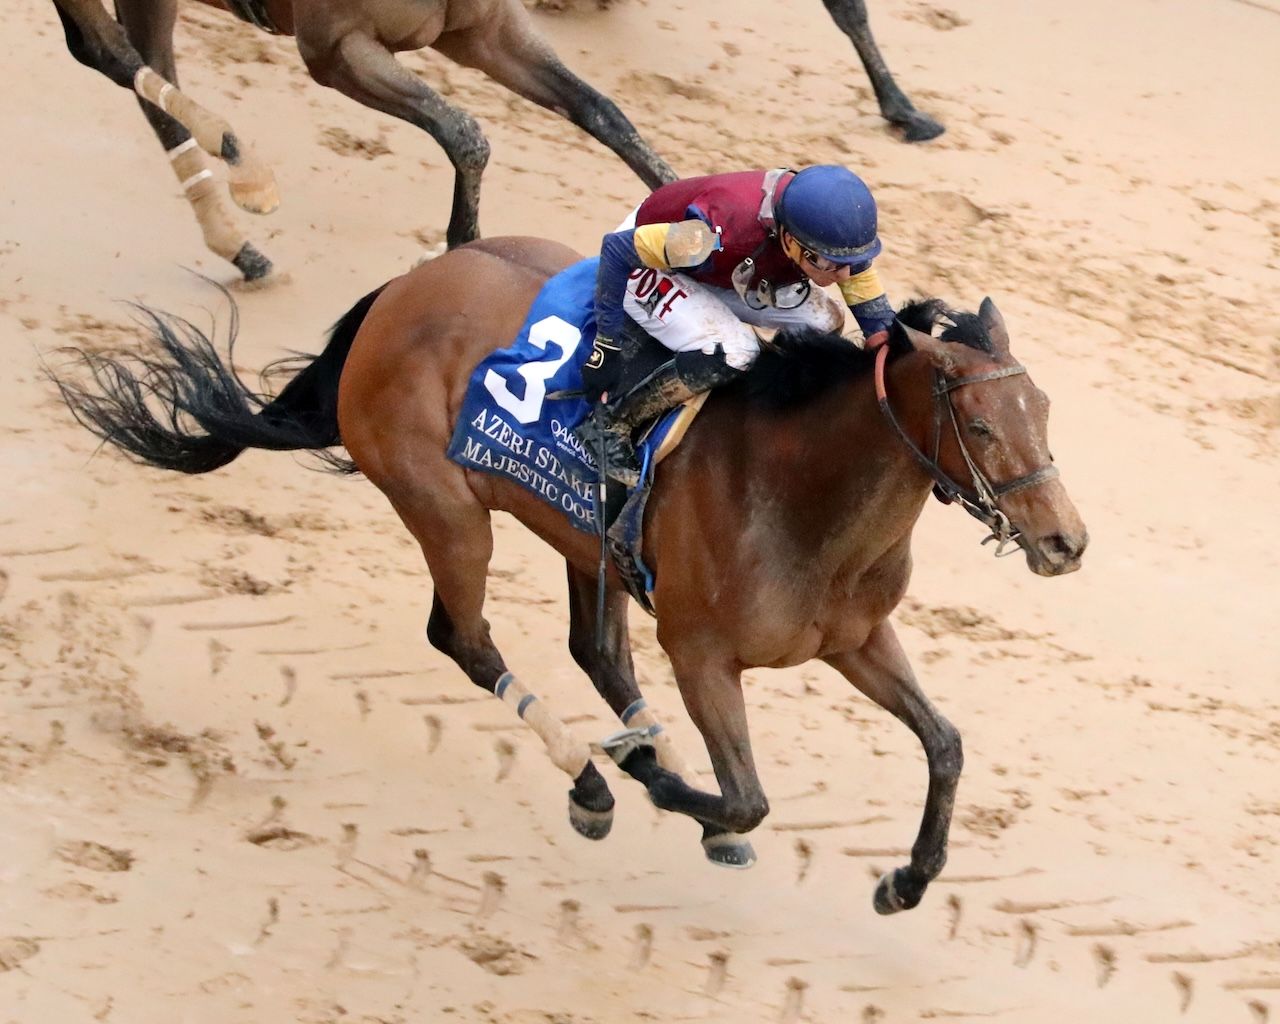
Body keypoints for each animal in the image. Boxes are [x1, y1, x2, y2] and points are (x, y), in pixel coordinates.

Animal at [51, 236, 1086, 914]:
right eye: (981, 425)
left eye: (1043, 408)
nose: (1067, 543)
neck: (802, 494)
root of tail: (404, 286)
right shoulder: (701, 652)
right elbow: (748, 798)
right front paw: (661, 789)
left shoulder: (856, 637)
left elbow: (945, 745)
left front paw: (906, 879)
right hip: (447, 509)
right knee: (464, 637)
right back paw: (596, 780)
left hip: (584, 540)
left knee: (595, 652)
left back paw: (638, 754)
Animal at [52, 0, 940, 282]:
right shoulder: (335, 47)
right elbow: (466, 132)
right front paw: (463, 251)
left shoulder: (483, 28)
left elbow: (605, 114)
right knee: (111, 53)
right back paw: (241, 174)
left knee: (120, 56)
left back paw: (237, 237)